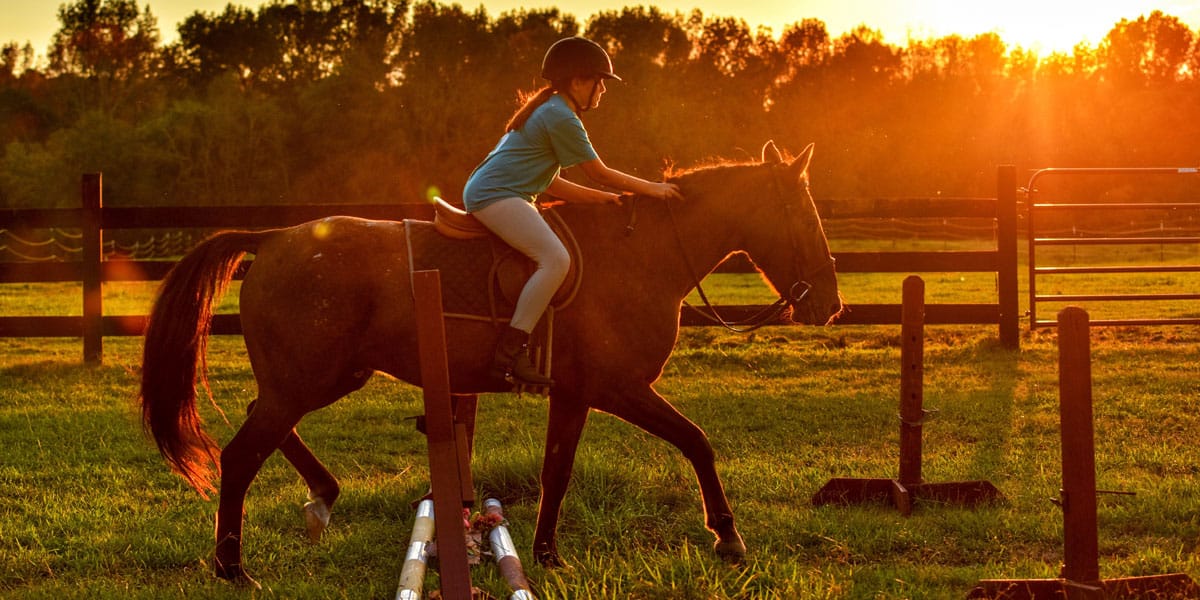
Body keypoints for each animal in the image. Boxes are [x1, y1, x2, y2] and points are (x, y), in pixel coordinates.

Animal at [139, 140, 841, 586]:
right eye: (804, 216)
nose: (830, 305)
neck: (642, 257)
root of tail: (274, 239)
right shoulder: (617, 386)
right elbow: (696, 441)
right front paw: (728, 536)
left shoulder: (575, 392)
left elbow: (558, 470)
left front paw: (547, 555)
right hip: (309, 379)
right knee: (241, 455)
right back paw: (234, 567)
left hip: (320, 377)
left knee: (264, 422)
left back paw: (321, 499)